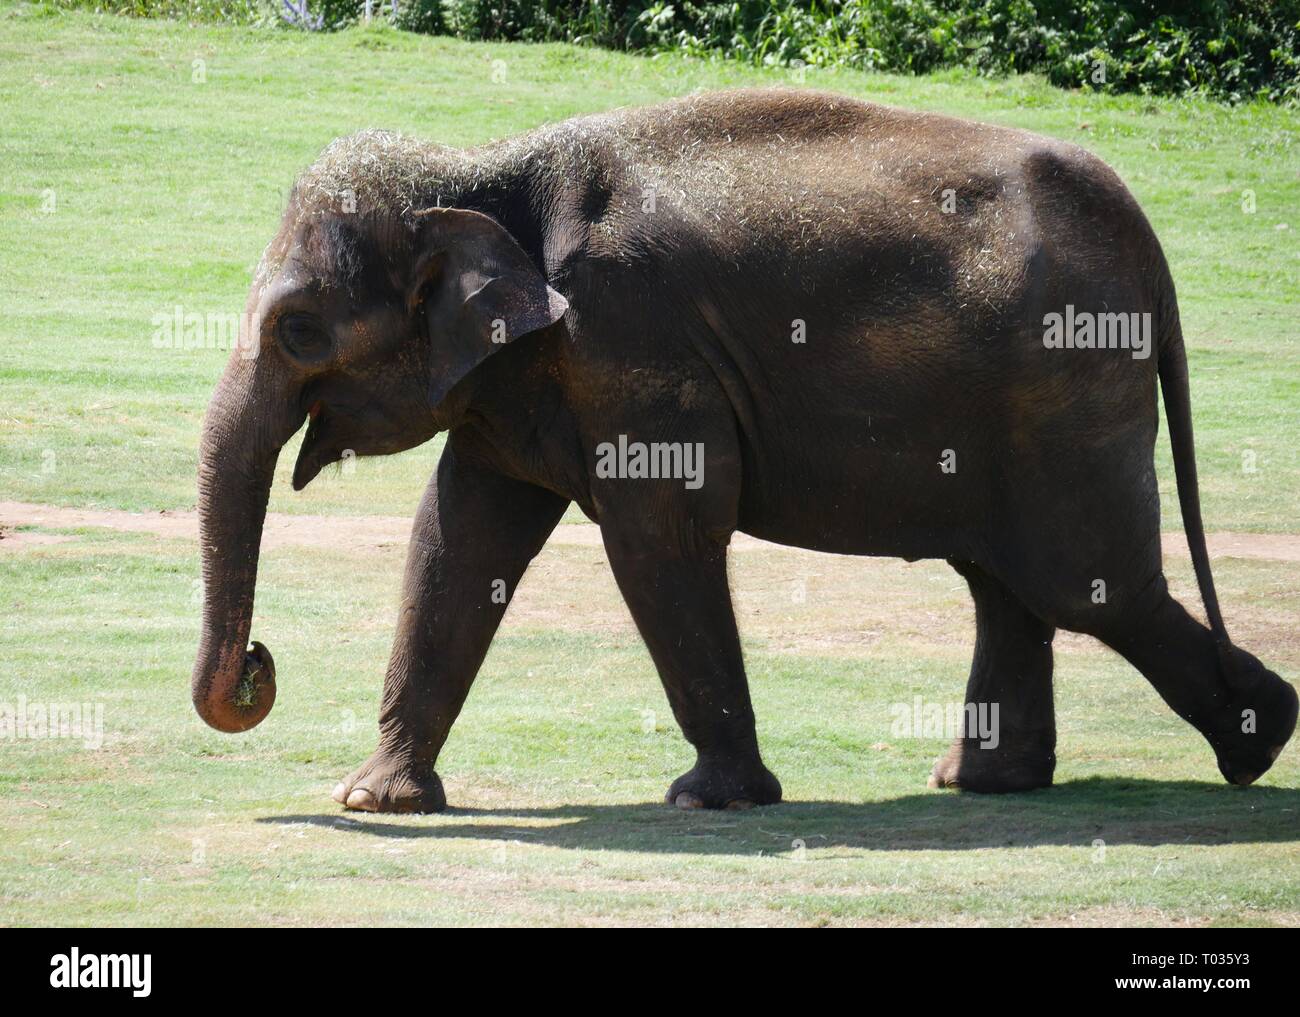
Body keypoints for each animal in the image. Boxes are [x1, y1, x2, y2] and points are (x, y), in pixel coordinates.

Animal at [191, 88, 1297, 812]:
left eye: (299, 331)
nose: (258, 665)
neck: (481, 169)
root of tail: (1147, 243)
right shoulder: (526, 378)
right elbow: (458, 541)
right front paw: (377, 801)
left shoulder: (633, 344)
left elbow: (660, 538)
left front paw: (709, 800)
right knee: (1009, 581)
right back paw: (987, 782)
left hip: (1066, 387)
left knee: (1083, 582)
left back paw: (1258, 738)